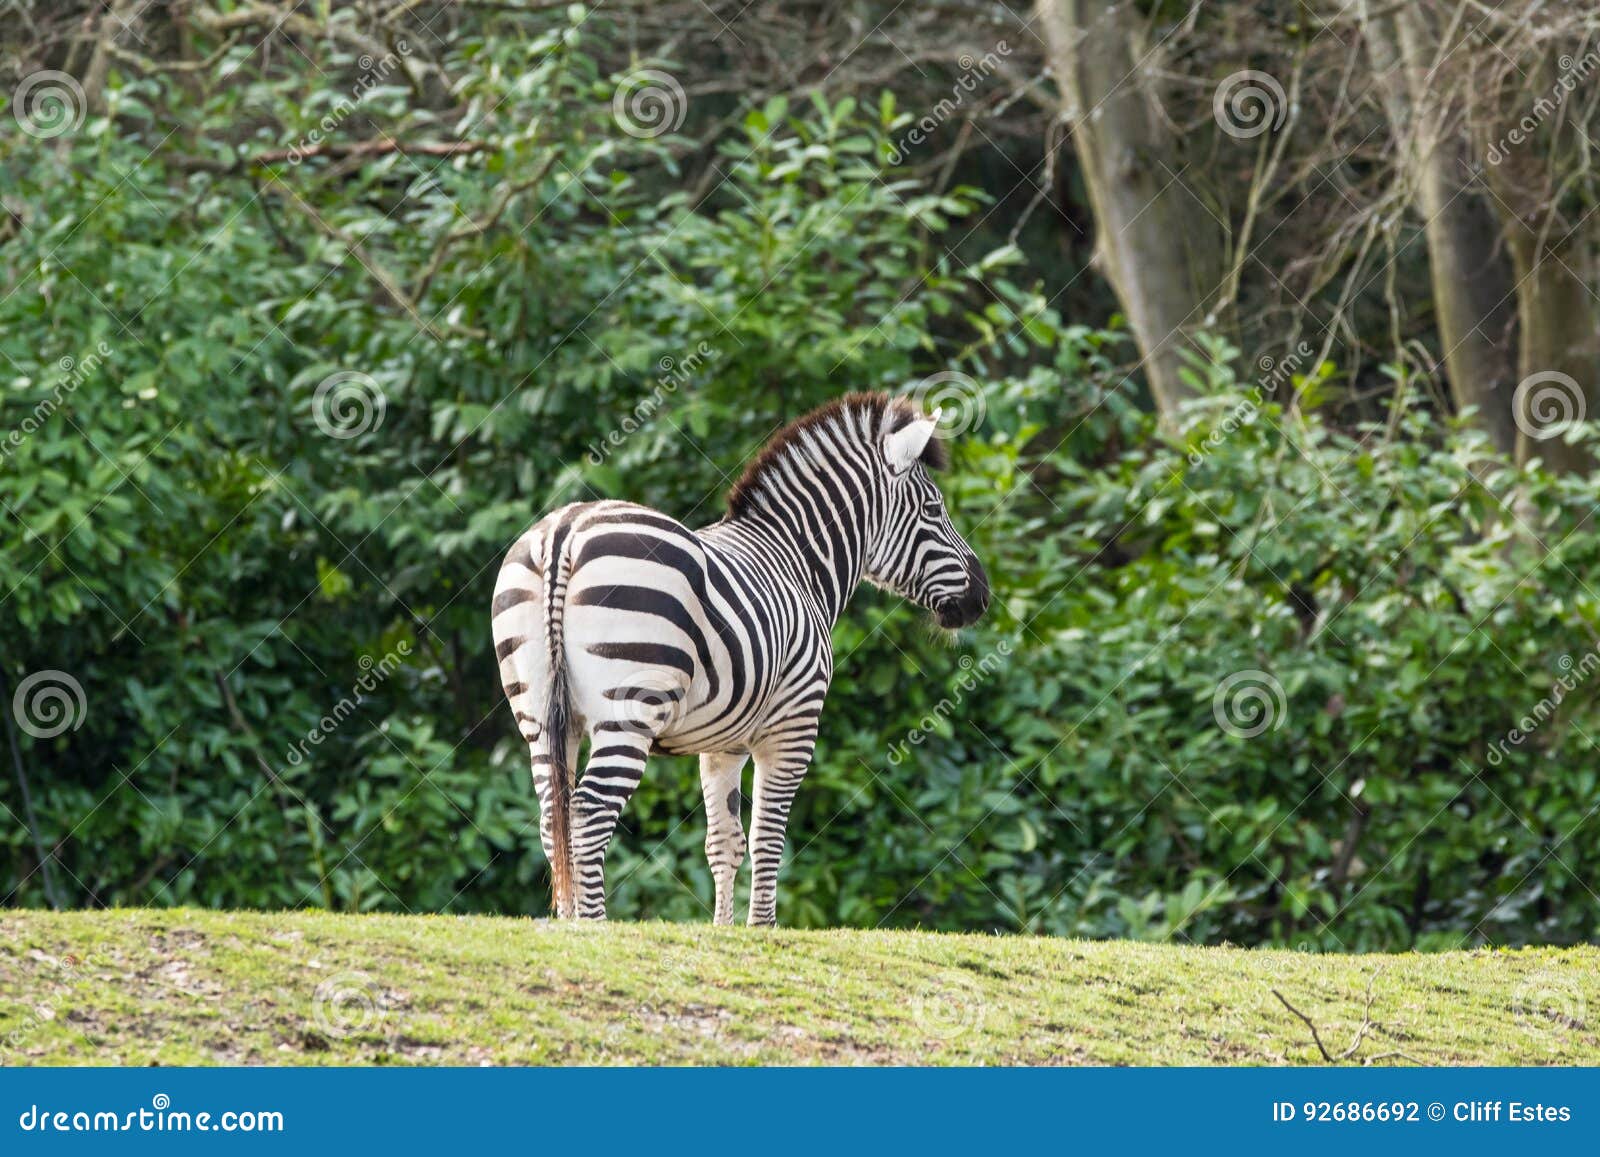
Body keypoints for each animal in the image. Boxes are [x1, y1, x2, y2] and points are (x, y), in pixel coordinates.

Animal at [491, 392, 989, 924]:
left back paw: (566, 927)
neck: (796, 561)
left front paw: (725, 931)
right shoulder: (793, 727)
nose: (982, 597)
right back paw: (595, 929)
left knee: (553, 818)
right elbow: (768, 839)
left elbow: (724, 843)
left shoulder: (722, 744)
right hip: (628, 711)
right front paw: (762, 929)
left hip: (540, 715)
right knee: (588, 812)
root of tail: (565, 530)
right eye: (934, 508)